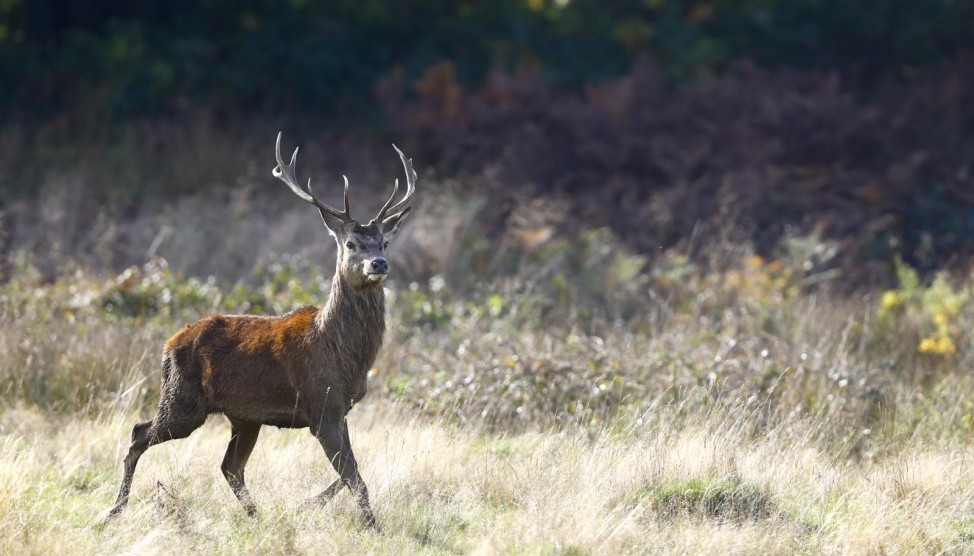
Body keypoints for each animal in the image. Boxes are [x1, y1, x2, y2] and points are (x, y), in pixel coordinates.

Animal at [106, 132, 417, 530]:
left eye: (384, 242)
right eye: (350, 244)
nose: (379, 263)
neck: (341, 352)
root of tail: (168, 345)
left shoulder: (339, 409)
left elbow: (353, 471)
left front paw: (308, 504)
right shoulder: (320, 405)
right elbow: (354, 476)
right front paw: (372, 526)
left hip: (243, 416)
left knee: (229, 466)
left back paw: (257, 515)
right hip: (182, 401)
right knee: (138, 434)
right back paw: (115, 509)